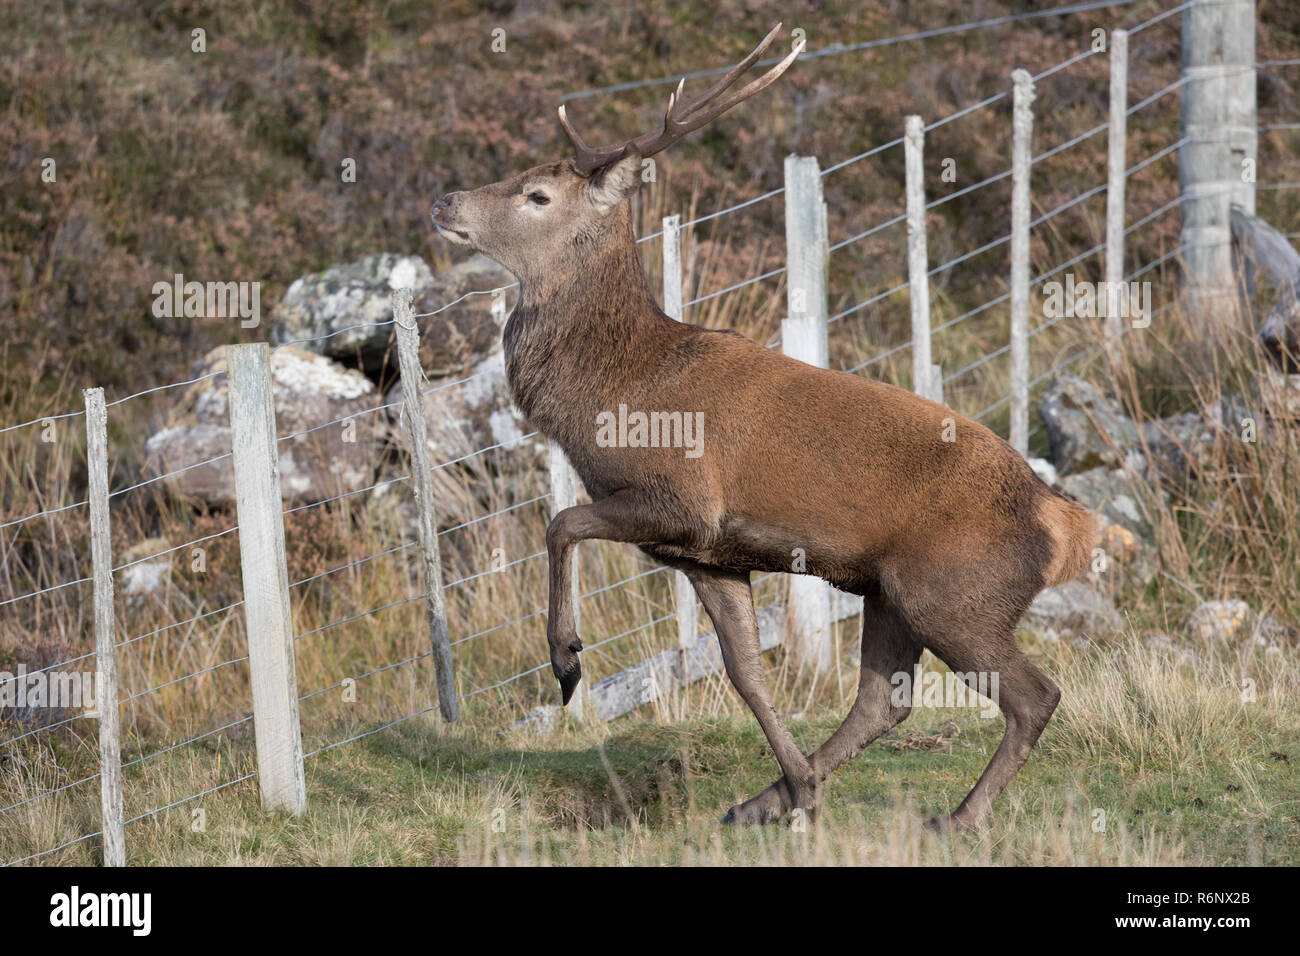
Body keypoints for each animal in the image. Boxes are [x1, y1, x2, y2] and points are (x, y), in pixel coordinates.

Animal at [429, 23, 1096, 831]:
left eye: (537, 193)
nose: (444, 198)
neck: (611, 395)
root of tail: (1062, 520)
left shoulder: (680, 499)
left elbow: (560, 523)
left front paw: (566, 661)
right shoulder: (708, 554)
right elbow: (746, 673)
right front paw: (798, 785)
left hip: (956, 591)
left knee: (1034, 694)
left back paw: (959, 818)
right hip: (889, 590)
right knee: (883, 701)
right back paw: (772, 798)